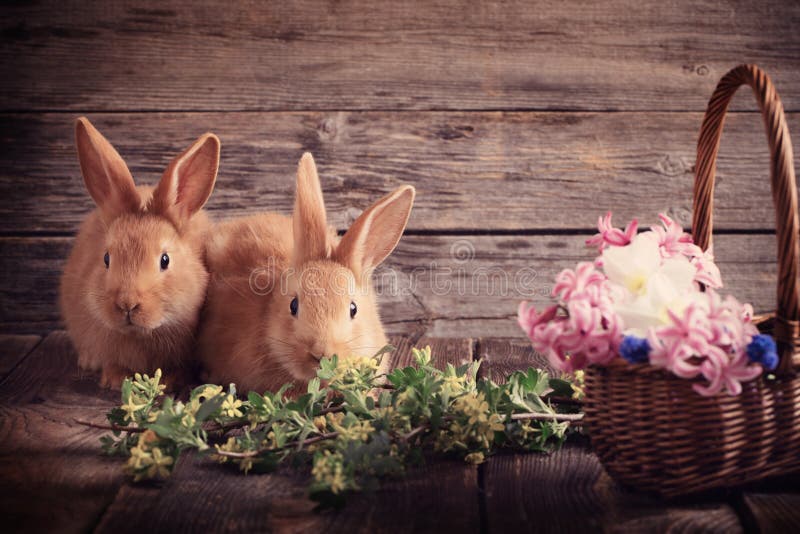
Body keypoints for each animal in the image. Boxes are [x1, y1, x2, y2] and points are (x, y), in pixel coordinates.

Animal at [60, 117, 221, 389]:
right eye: (106, 258)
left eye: (165, 260)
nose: (127, 304)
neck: (142, 335)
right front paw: (115, 379)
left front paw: (170, 380)